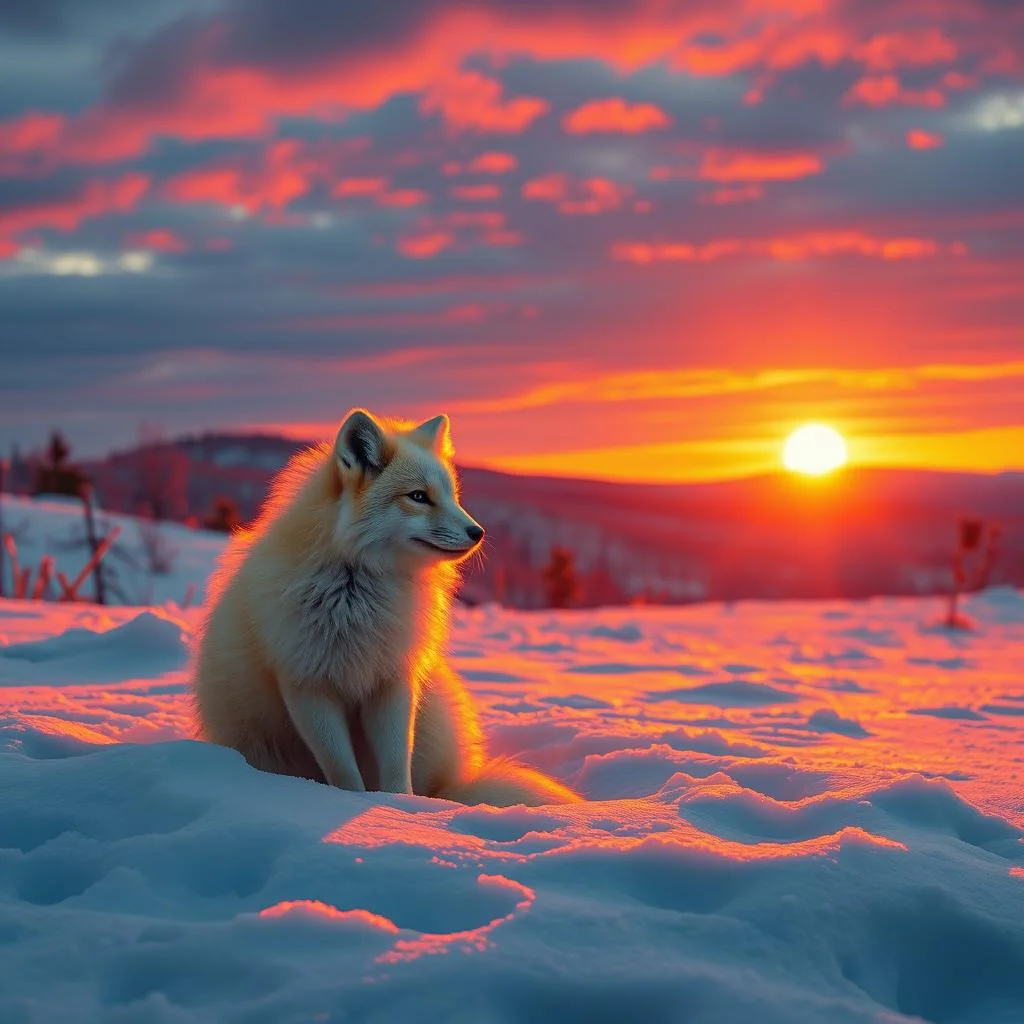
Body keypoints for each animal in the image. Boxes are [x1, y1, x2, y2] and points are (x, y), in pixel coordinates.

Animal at [191, 408, 578, 807]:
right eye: (419, 496)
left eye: (452, 496)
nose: (479, 533)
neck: (355, 596)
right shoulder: (307, 686)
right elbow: (345, 773)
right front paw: (362, 807)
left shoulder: (391, 681)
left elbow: (395, 768)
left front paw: (399, 809)